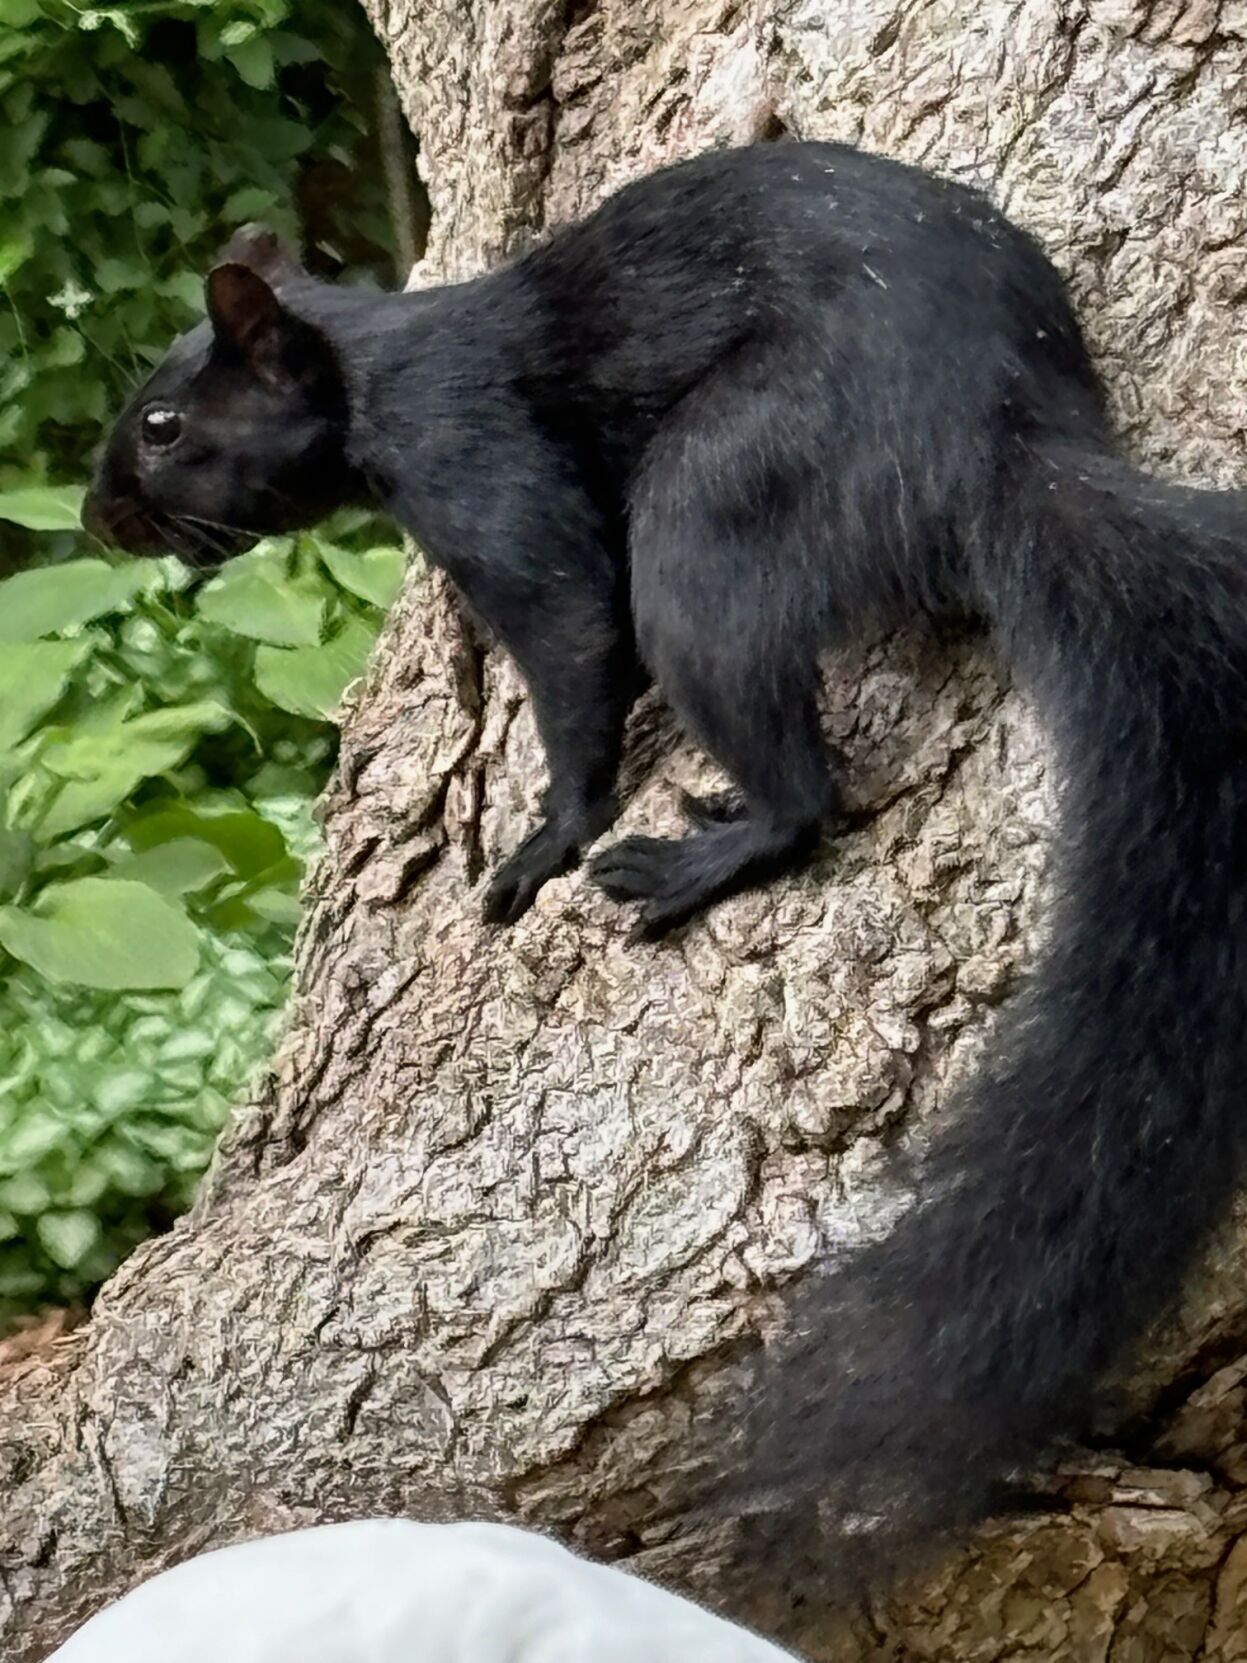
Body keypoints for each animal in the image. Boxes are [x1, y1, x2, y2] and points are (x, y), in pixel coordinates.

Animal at [84, 140, 1247, 1577]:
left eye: (163, 426)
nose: (96, 516)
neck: (374, 372)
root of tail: (1002, 430)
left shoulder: (481, 465)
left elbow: (579, 645)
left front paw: (539, 842)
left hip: (720, 497)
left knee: (791, 772)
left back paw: (699, 858)